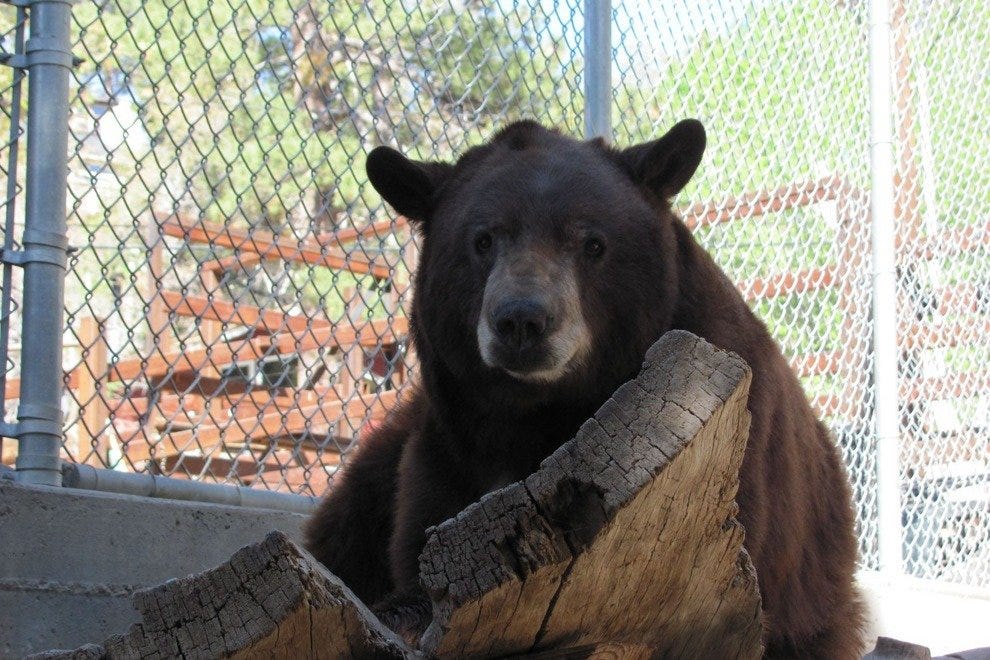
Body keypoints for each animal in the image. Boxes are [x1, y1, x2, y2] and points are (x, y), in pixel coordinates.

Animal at [304, 119, 866, 658]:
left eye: (593, 243)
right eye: (482, 240)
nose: (521, 320)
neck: (536, 415)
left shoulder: (727, 442)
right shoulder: (447, 447)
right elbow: (418, 543)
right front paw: (402, 608)